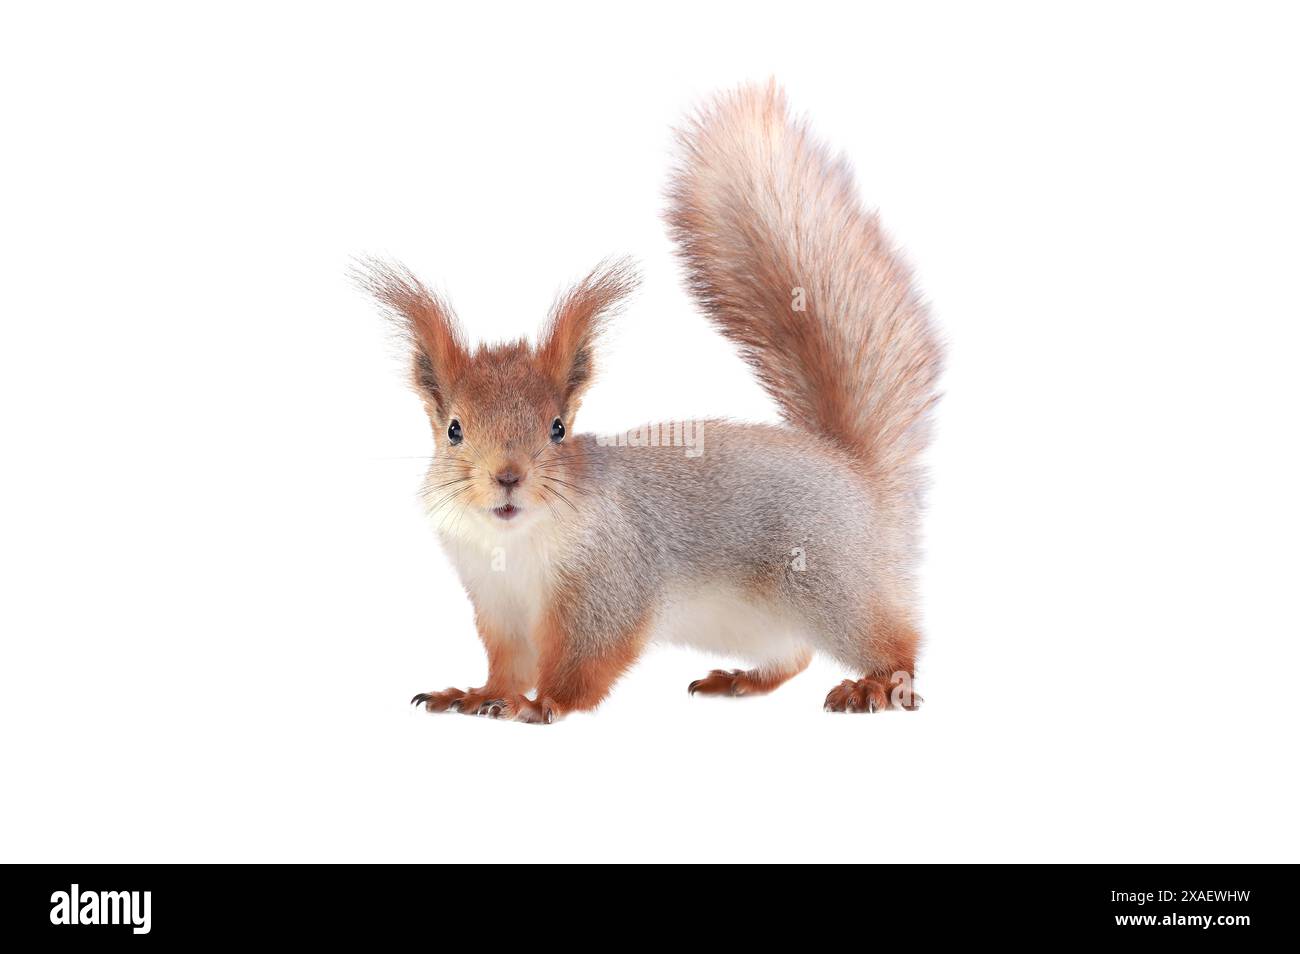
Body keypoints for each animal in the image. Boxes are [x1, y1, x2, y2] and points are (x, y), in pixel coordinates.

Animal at [359, 82, 943, 723]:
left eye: (558, 428)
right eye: (454, 430)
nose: (508, 476)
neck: (517, 547)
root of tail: (854, 471)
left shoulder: (611, 586)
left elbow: (589, 660)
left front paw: (542, 705)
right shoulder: (497, 604)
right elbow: (508, 664)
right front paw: (476, 695)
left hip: (828, 582)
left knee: (895, 639)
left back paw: (877, 684)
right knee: (793, 656)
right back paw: (740, 680)